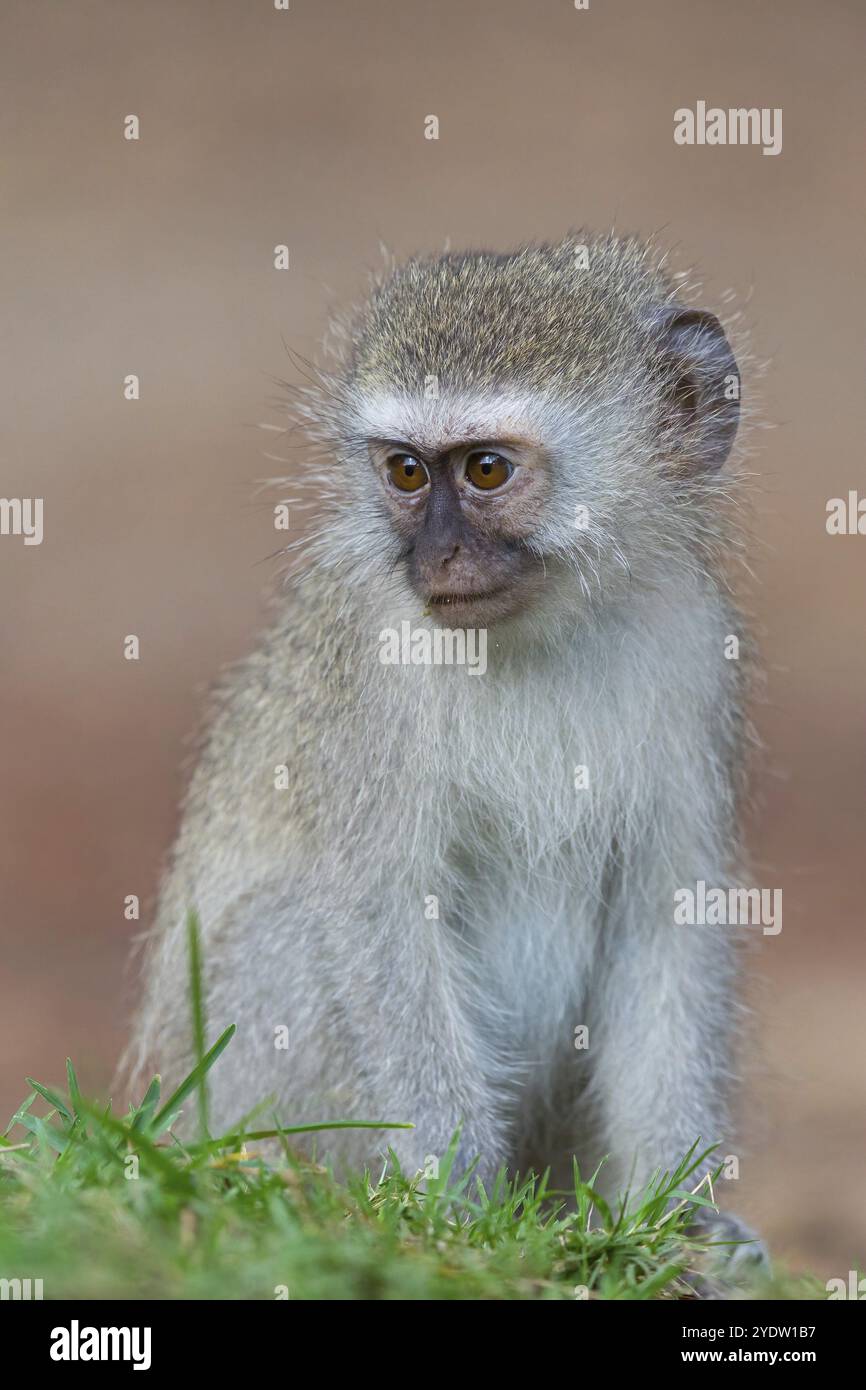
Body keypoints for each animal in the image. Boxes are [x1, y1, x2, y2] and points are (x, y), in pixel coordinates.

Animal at [126, 233, 766, 1276]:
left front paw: (680, 1216)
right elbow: (381, 909)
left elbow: (667, 907)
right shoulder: (371, 670)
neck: (539, 632)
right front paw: (458, 1201)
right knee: (293, 927)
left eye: (488, 471)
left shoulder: (695, 646)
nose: (438, 561)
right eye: (407, 474)